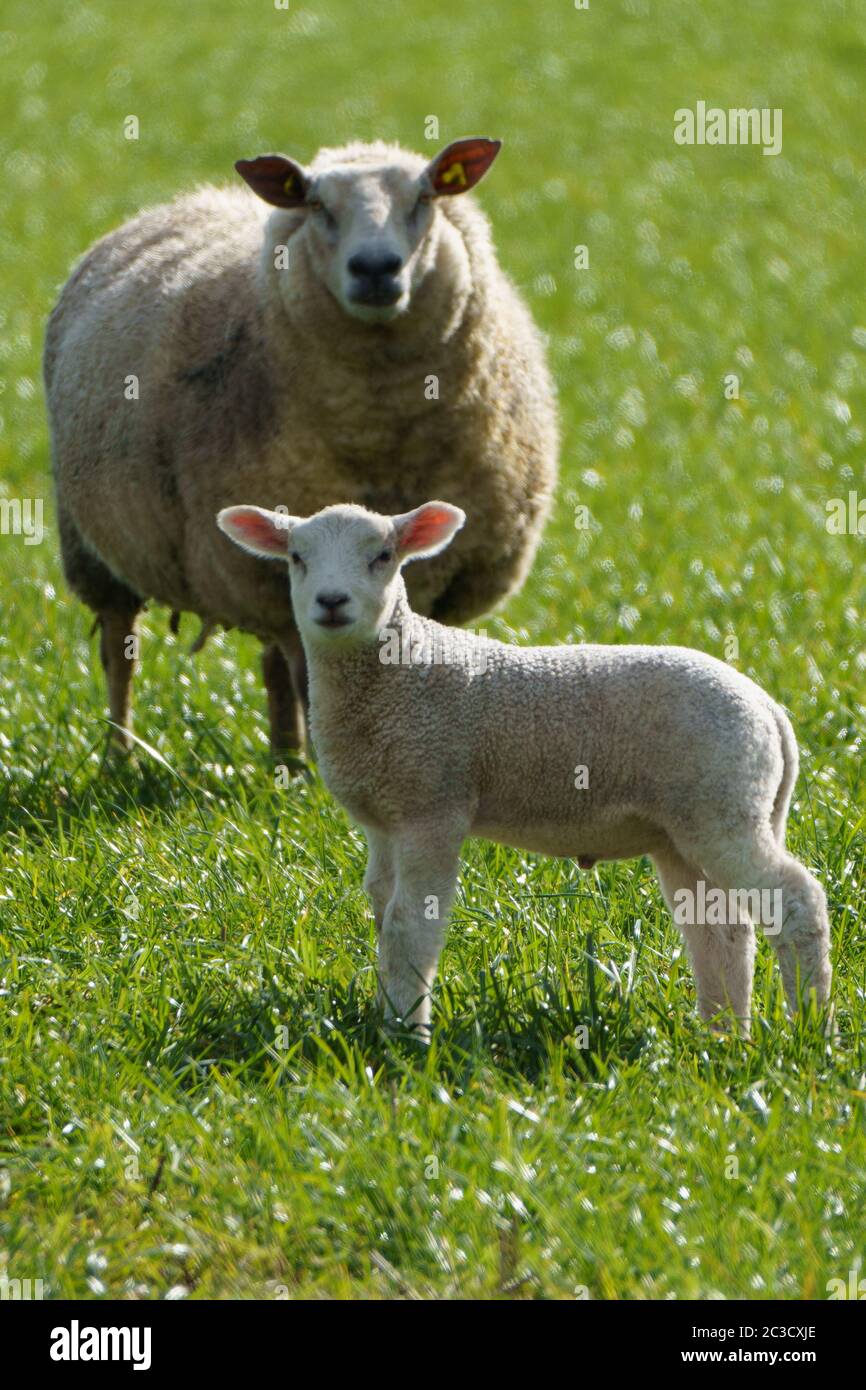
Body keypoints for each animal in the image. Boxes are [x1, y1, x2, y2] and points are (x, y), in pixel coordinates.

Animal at [43, 137, 558, 754]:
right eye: (317, 204)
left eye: (424, 197)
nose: (376, 267)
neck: (378, 426)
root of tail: (182, 202)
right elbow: (310, 685)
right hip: (93, 548)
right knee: (121, 650)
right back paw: (121, 753)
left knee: (269, 670)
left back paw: (283, 758)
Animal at [217, 498, 833, 1037]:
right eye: (296, 556)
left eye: (384, 555)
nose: (331, 601)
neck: (399, 673)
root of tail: (769, 709)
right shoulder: (384, 819)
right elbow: (382, 915)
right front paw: (388, 1017)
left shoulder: (433, 806)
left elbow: (412, 924)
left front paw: (407, 1037)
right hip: (690, 827)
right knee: (720, 930)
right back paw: (723, 1037)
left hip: (723, 805)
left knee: (797, 899)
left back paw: (809, 1030)